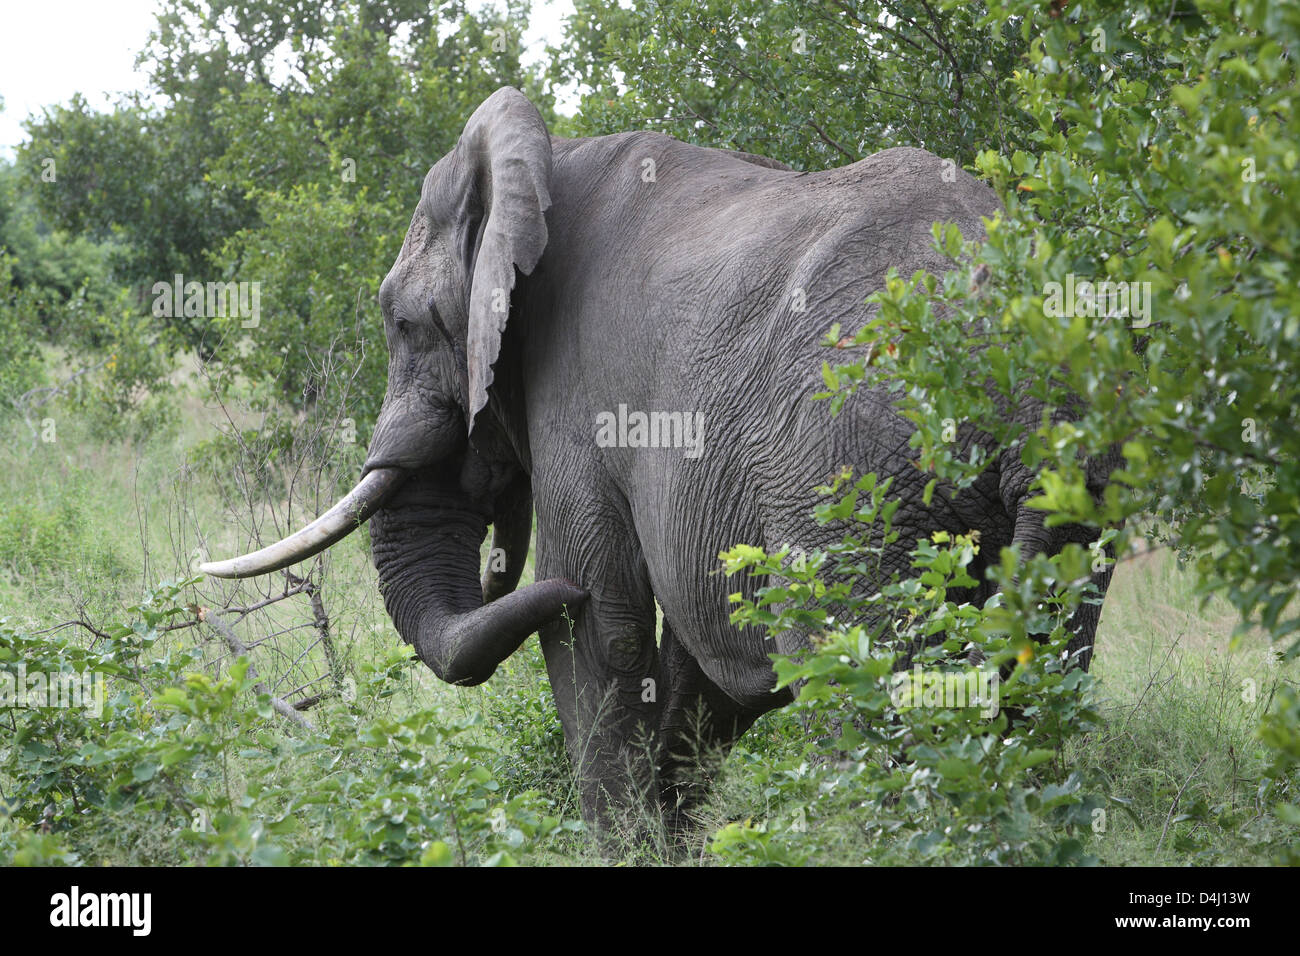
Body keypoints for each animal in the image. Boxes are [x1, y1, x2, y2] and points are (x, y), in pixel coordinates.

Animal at [202, 87, 1115, 841]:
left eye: (402, 322)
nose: (510, 571)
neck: (542, 172)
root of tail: (1026, 386)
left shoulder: (581, 399)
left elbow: (600, 623)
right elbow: (692, 662)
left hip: (846, 483)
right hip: (1070, 507)